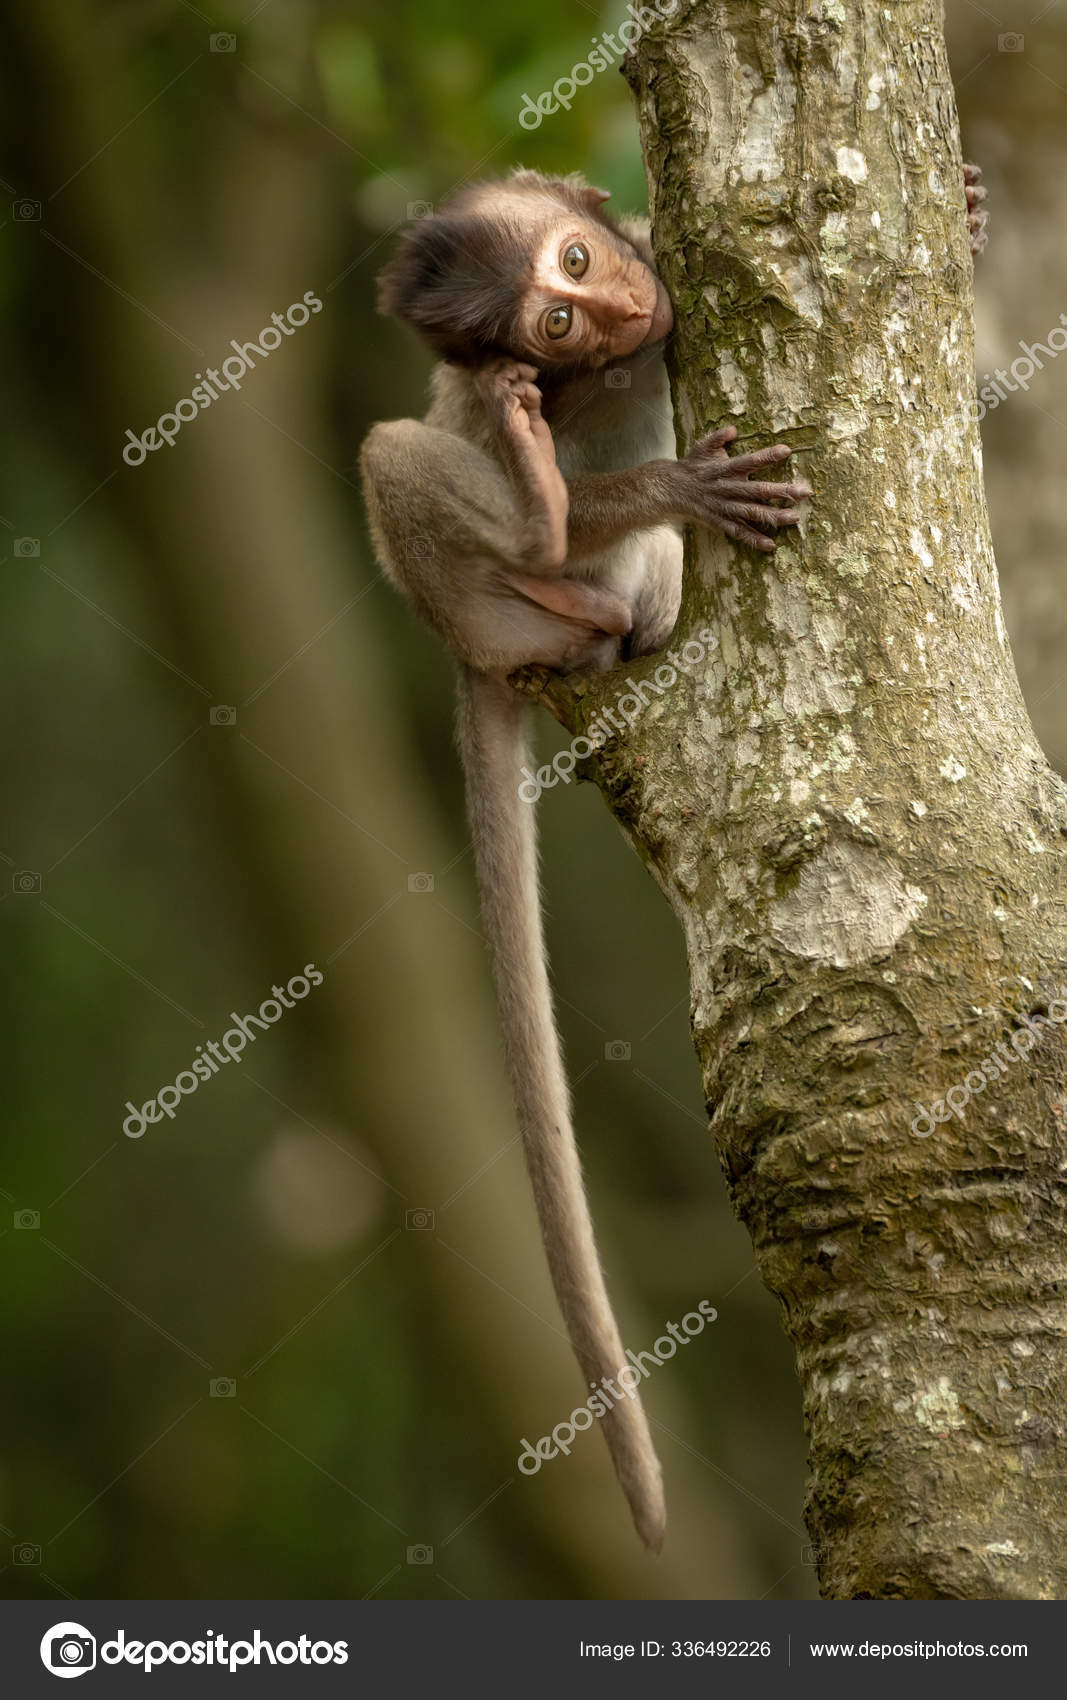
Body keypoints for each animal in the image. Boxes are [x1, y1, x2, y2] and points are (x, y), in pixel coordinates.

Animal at [360, 164, 986, 1551]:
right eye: (551, 326)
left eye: (579, 260)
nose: (611, 313)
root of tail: (478, 653)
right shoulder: (527, 388)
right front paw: (672, 492)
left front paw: (969, 214)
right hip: (505, 602)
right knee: (409, 461)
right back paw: (555, 566)